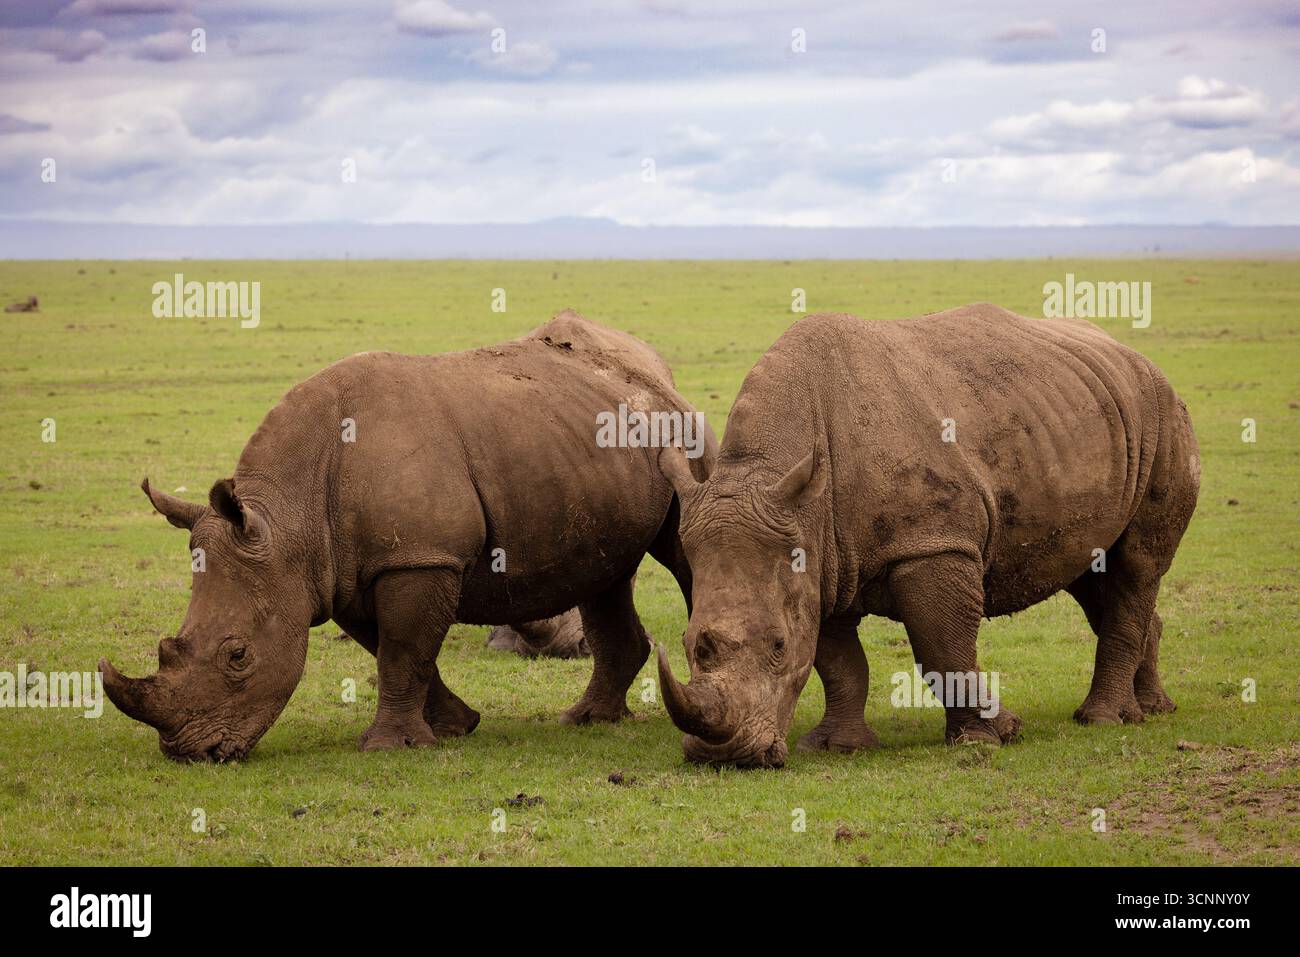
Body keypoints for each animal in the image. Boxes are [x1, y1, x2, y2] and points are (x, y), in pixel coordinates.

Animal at [100, 311, 714, 761]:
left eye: (238, 656)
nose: (189, 752)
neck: (288, 515)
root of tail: (653, 372)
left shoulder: (418, 557)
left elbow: (400, 649)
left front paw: (388, 748)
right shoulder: (340, 570)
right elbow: (394, 648)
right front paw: (453, 727)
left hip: (687, 436)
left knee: (686, 557)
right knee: (604, 576)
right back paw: (585, 721)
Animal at [656, 305, 1200, 767]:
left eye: (777, 646)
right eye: (686, 643)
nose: (724, 757)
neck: (770, 471)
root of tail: (1137, 359)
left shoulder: (932, 543)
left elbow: (943, 646)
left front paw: (990, 737)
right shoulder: (820, 558)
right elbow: (838, 661)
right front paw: (837, 747)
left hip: (1163, 417)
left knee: (1137, 564)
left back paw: (1102, 719)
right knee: (1092, 571)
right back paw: (1154, 709)